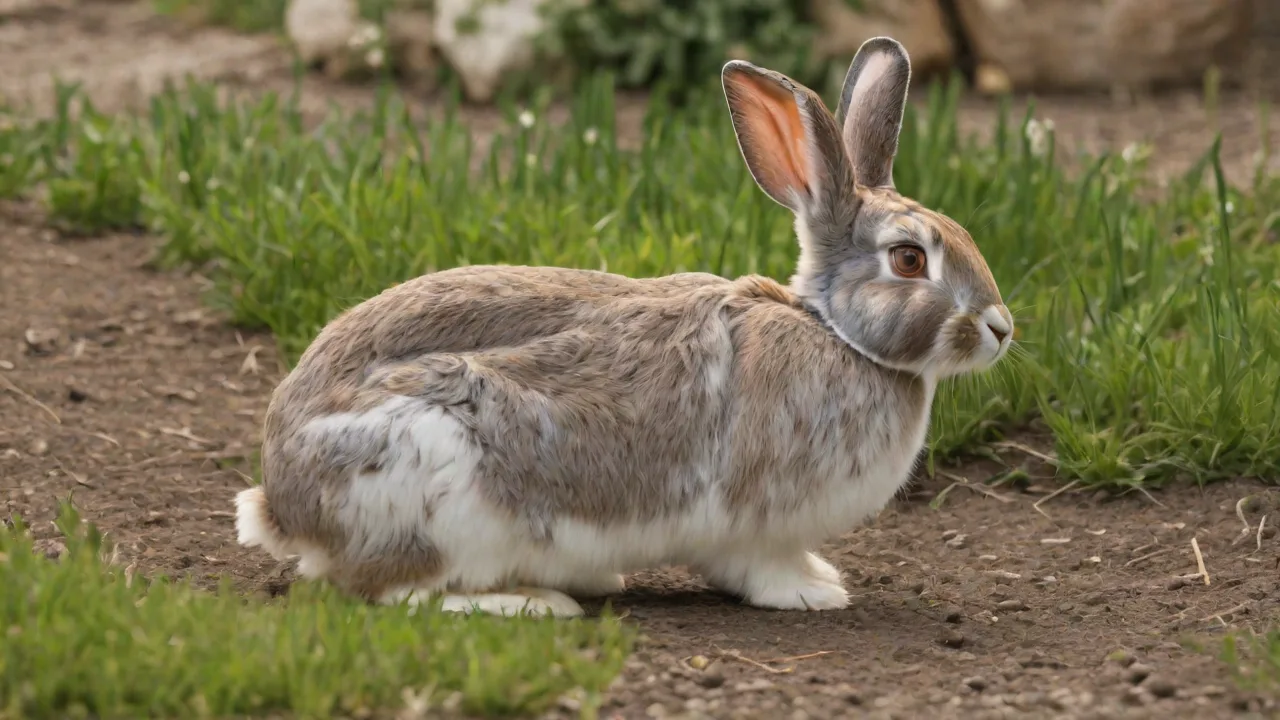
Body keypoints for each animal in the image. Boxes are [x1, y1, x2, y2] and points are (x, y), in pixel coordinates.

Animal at [234, 36, 1014, 618]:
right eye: (909, 258)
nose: (1001, 328)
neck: (837, 334)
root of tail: (285, 501)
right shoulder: (753, 527)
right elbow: (760, 568)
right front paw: (813, 593)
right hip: (436, 483)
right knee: (399, 591)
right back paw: (534, 602)